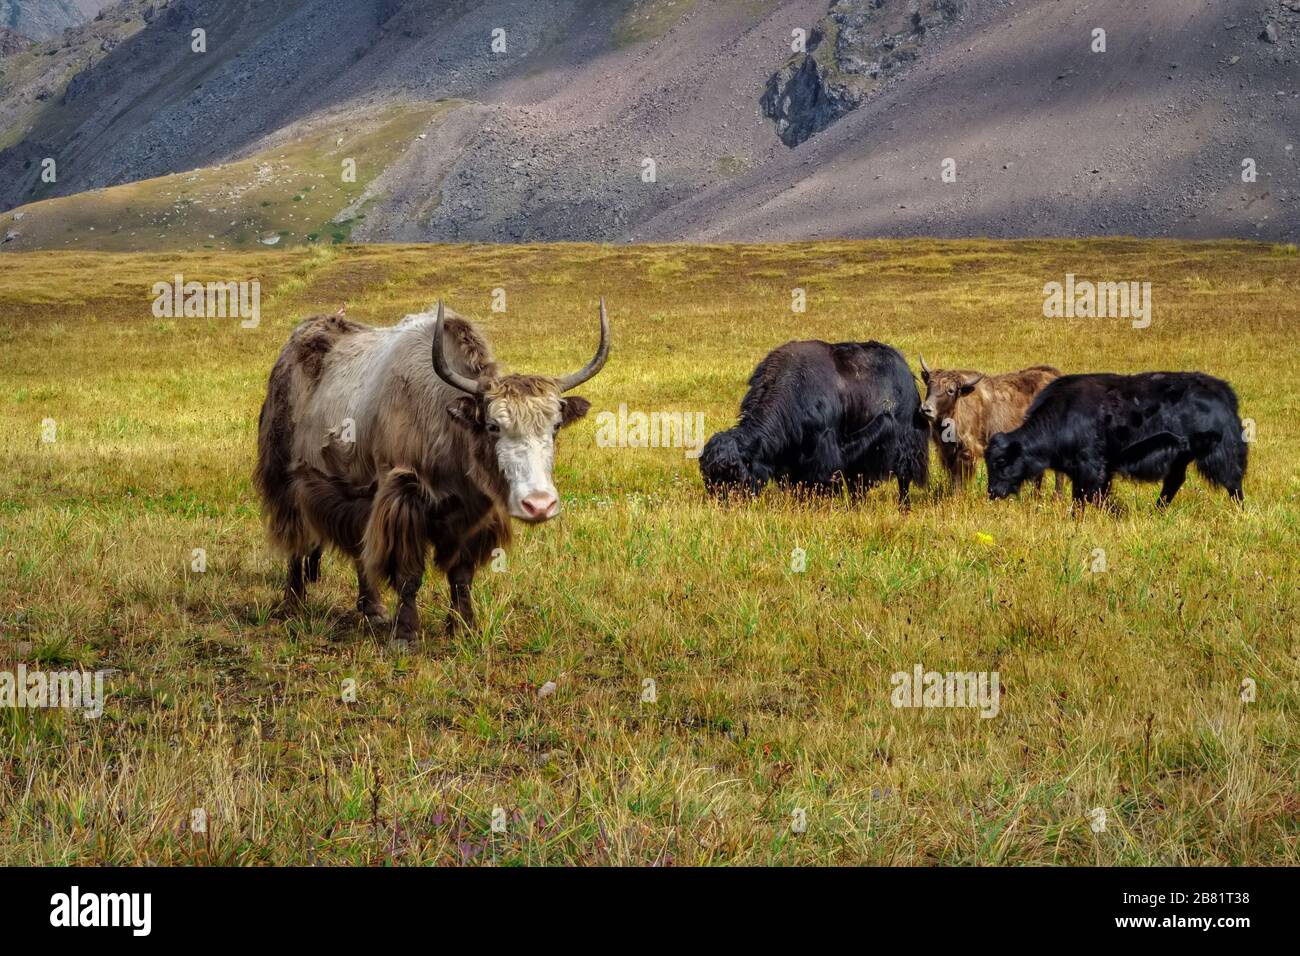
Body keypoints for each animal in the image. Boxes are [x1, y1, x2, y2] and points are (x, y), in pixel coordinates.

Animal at [254, 300, 609, 641]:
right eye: (493, 426)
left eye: (556, 426)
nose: (539, 505)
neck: (446, 423)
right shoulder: (403, 498)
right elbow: (409, 574)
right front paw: (406, 634)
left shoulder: (472, 515)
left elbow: (462, 574)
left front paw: (464, 627)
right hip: (286, 478)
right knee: (295, 540)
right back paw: (293, 603)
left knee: (359, 548)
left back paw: (373, 609)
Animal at [699, 339, 928, 504]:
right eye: (708, 478)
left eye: (736, 475)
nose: (725, 505)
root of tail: (906, 371)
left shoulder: (824, 455)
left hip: (905, 446)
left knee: (903, 478)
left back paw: (903, 507)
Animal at [918, 356, 1062, 493]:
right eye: (929, 385)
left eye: (951, 390)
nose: (926, 409)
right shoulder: (947, 453)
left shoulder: (967, 451)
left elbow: (959, 478)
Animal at [984, 371, 1247, 509]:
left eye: (1001, 461)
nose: (992, 492)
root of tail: (1222, 389)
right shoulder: (1098, 472)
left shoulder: (1090, 469)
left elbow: (1085, 500)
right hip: (1181, 457)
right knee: (1173, 482)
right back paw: (1157, 511)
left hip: (1218, 454)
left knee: (1233, 483)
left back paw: (1239, 512)